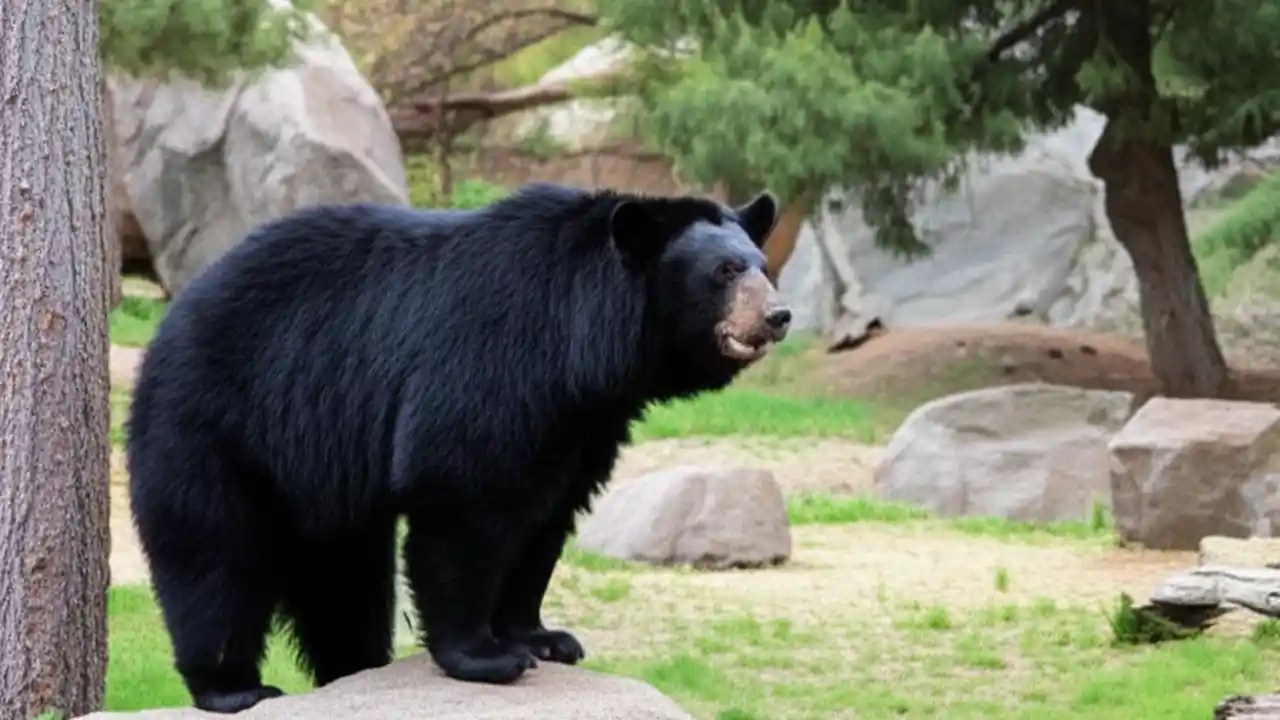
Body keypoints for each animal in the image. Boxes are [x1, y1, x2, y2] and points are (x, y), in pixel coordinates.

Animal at [125, 182, 792, 714]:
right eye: (724, 272)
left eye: (763, 266)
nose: (779, 315)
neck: (583, 342)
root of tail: (173, 318)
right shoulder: (493, 359)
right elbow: (464, 497)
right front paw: (486, 658)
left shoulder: (582, 423)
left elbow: (545, 520)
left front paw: (543, 638)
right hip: (221, 423)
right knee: (214, 558)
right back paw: (233, 686)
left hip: (318, 469)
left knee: (345, 581)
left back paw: (353, 666)